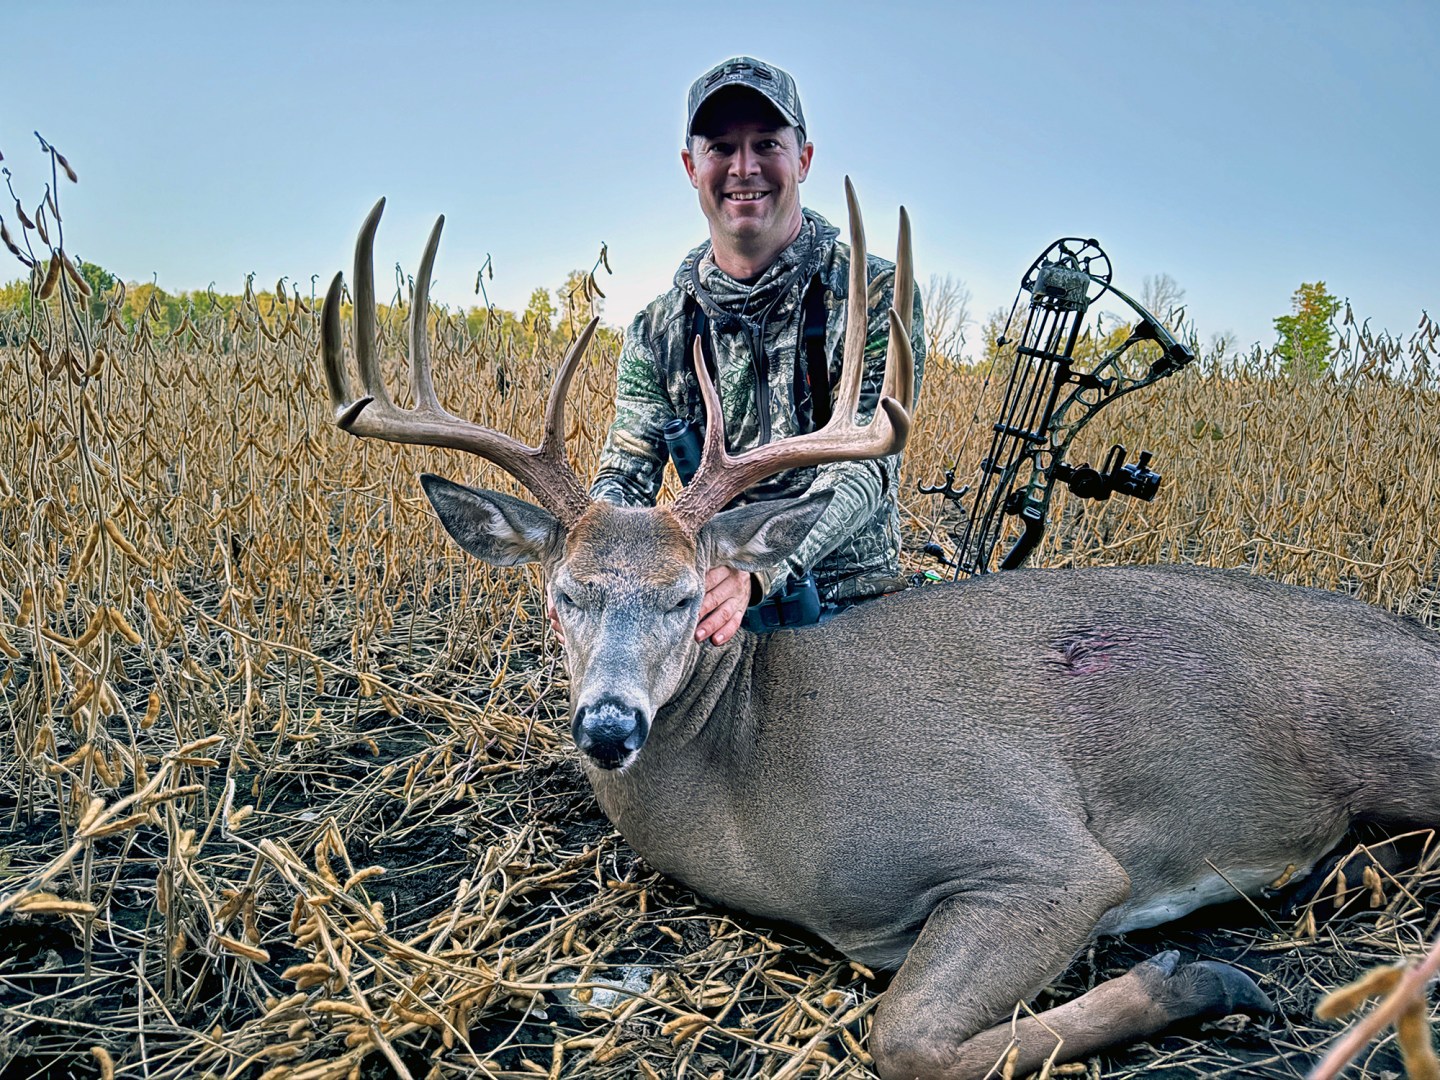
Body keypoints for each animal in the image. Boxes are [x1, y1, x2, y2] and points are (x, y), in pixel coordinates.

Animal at [319, 191, 1440, 1080]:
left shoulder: (1046, 856)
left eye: (688, 596)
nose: (608, 726)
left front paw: (1199, 978)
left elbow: (905, 1039)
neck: (751, 774)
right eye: (561, 594)